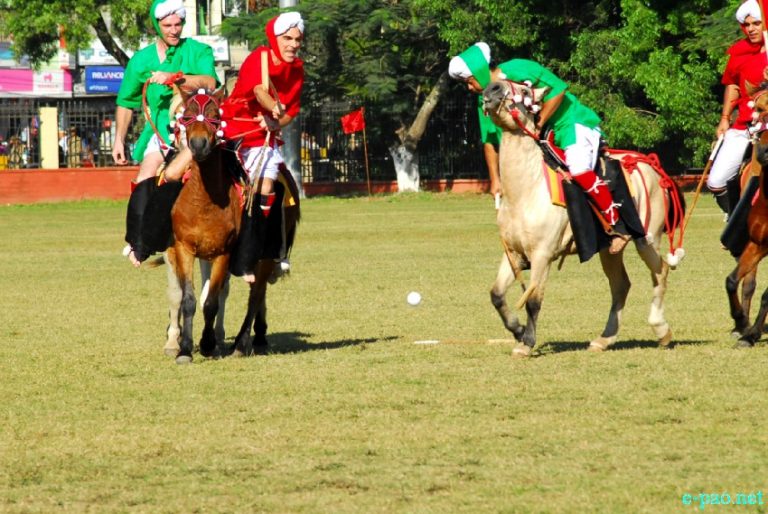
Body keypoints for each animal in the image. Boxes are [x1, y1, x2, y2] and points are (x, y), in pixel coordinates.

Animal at [482, 80, 685, 357]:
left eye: (524, 91)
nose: (491, 89)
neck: (524, 192)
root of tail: (652, 166)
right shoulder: (513, 254)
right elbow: (497, 294)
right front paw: (518, 330)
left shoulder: (542, 255)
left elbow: (533, 300)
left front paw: (526, 343)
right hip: (609, 249)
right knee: (621, 285)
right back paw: (604, 339)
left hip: (648, 238)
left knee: (661, 270)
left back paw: (661, 330)